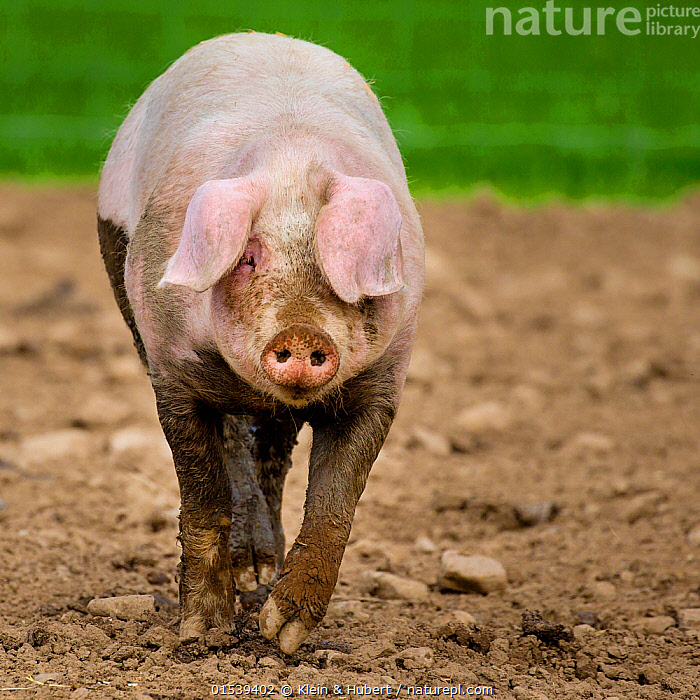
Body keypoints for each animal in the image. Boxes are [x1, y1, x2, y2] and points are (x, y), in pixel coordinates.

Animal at [97, 32, 424, 654]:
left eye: (333, 253)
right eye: (248, 257)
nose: (301, 333)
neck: (289, 163)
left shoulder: (383, 379)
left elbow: (335, 503)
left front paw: (282, 636)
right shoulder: (172, 370)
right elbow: (203, 493)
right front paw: (204, 634)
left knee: (272, 454)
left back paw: (261, 578)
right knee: (237, 446)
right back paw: (247, 578)